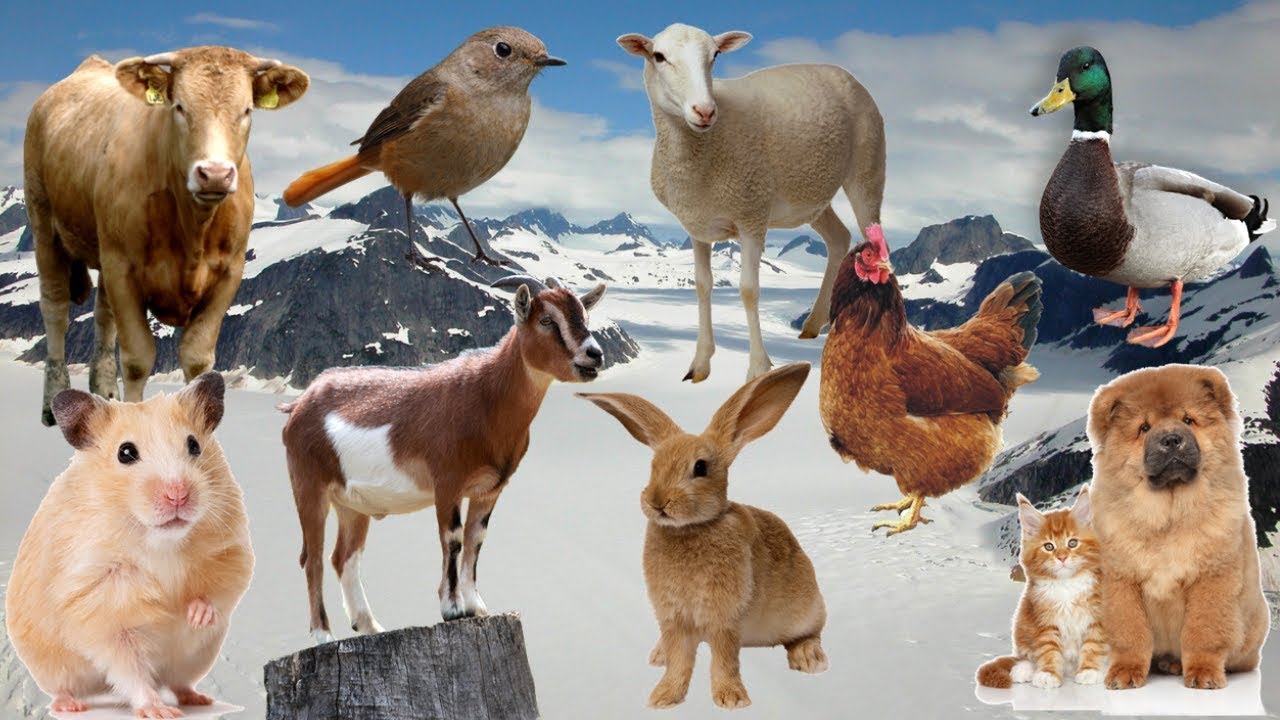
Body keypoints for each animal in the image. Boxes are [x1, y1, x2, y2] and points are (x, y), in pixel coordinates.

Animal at [24, 47, 309, 425]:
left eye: (246, 110)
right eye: (180, 107)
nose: (214, 174)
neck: (193, 231)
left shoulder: (228, 273)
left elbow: (197, 359)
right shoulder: (124, 269)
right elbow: (137, 360)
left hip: (102, 245)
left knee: (103, 316)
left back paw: (105, 392)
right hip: (44, 223)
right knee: (55, 309)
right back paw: (52, 401)